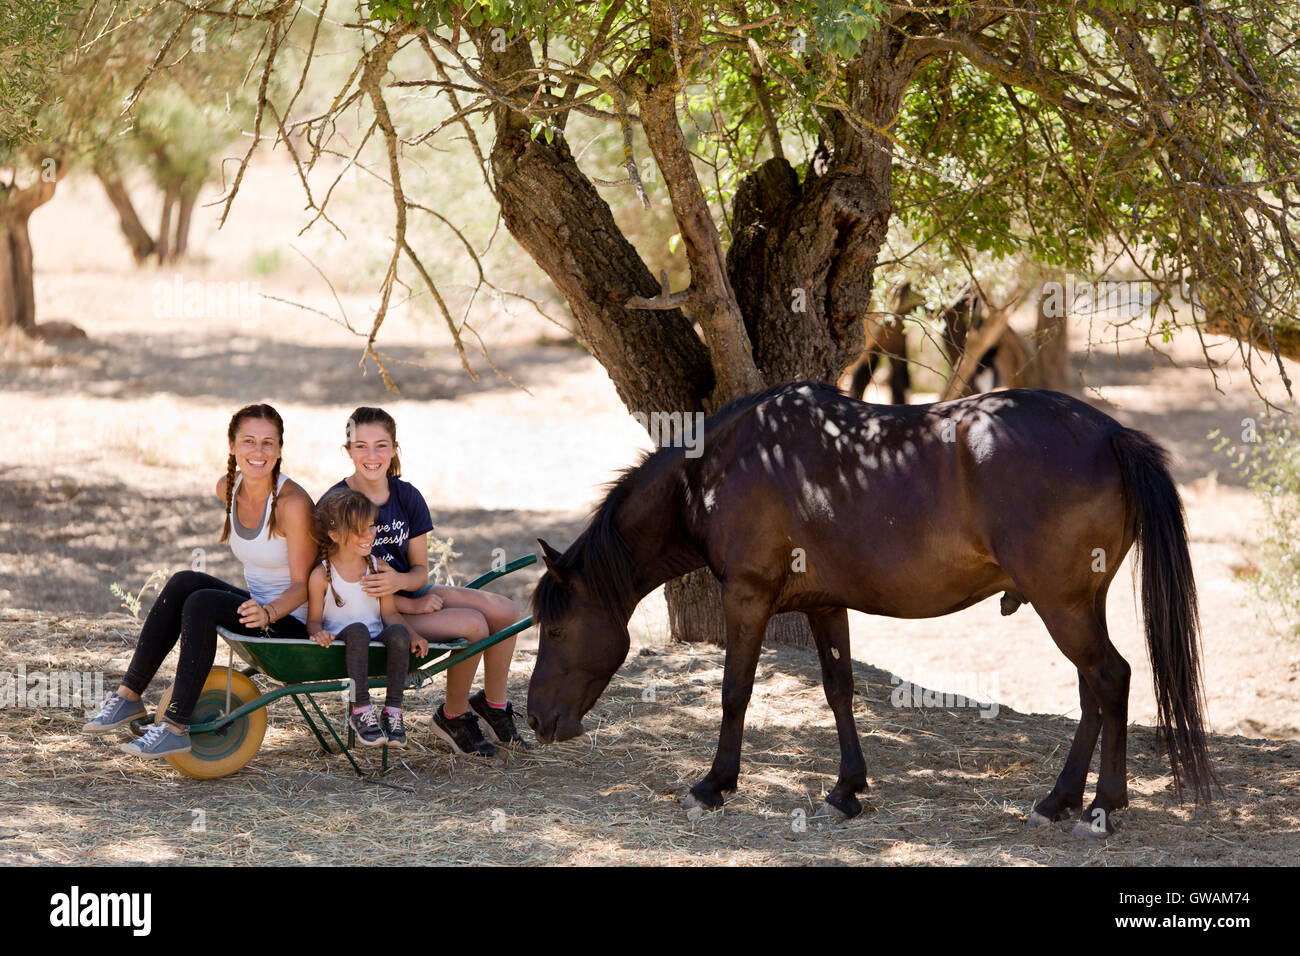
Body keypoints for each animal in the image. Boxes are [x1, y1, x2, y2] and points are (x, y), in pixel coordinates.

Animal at [528, 381, 1214, 837]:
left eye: (556, 628)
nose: (536, 718)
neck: (726, 465)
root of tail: (1110, 433)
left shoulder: (745, 597)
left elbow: (735, 690)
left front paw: (714, 784)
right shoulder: (825, 605)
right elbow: (839, 689)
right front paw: (846, 790)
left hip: (1063, 606)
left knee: (1111, 679)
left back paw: (1100, 806)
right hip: (1077, 605)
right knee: (1094, 691)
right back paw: (1063, 799)